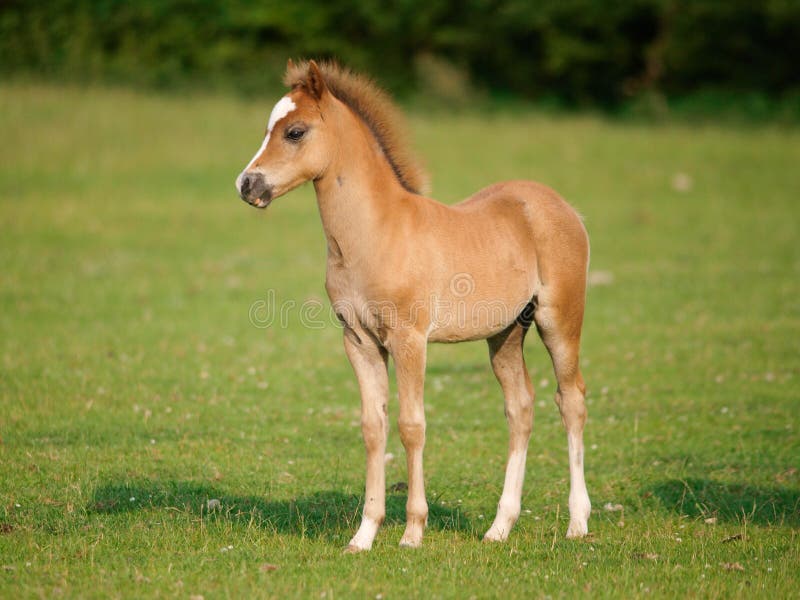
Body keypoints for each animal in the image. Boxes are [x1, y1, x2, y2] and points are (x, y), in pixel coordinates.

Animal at [235, 60, 591, 552]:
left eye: (295, 131)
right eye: (268, 128)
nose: (246, 184)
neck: (376, 232)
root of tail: (562, 205)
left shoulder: (409, 339)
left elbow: (411, 426)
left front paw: (412, 531)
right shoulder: (359, 341)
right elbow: (373, 427)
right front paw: (363, 534)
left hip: (559, 320)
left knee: (571, 400)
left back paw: (578, 522)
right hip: (505, 333)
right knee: (520, 408)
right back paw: (499, 527)